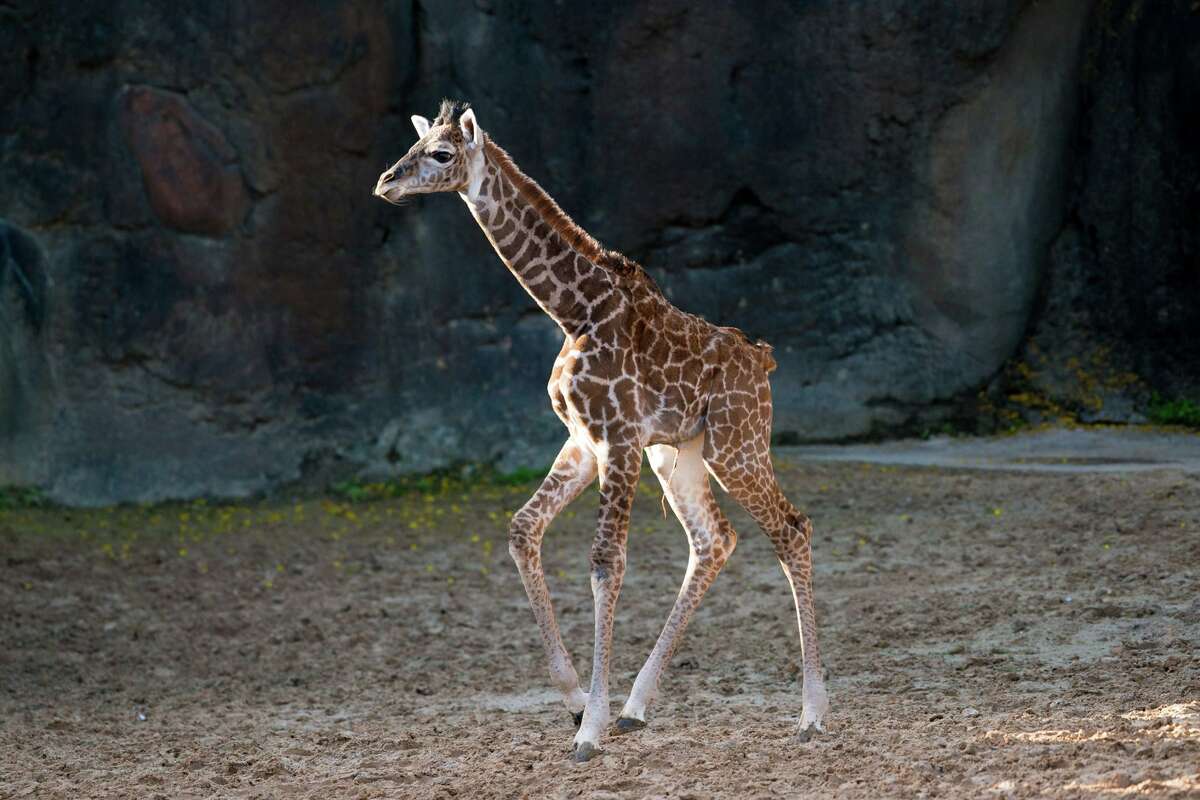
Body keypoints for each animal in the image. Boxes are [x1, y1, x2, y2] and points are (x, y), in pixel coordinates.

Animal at [373, 100, 829, 762]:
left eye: (441, 153)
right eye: (416, 145)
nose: (386, 182)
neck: (574, 310)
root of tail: (764, 361)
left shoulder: (618, 438)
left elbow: (604, 563)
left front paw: (589, 729)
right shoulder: (586, 441)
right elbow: (523, 530)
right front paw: (575, 701)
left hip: (736, 444)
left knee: (791, 529)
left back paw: (812, 715)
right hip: (680, 455)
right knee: (714, 539)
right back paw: (636, 708)